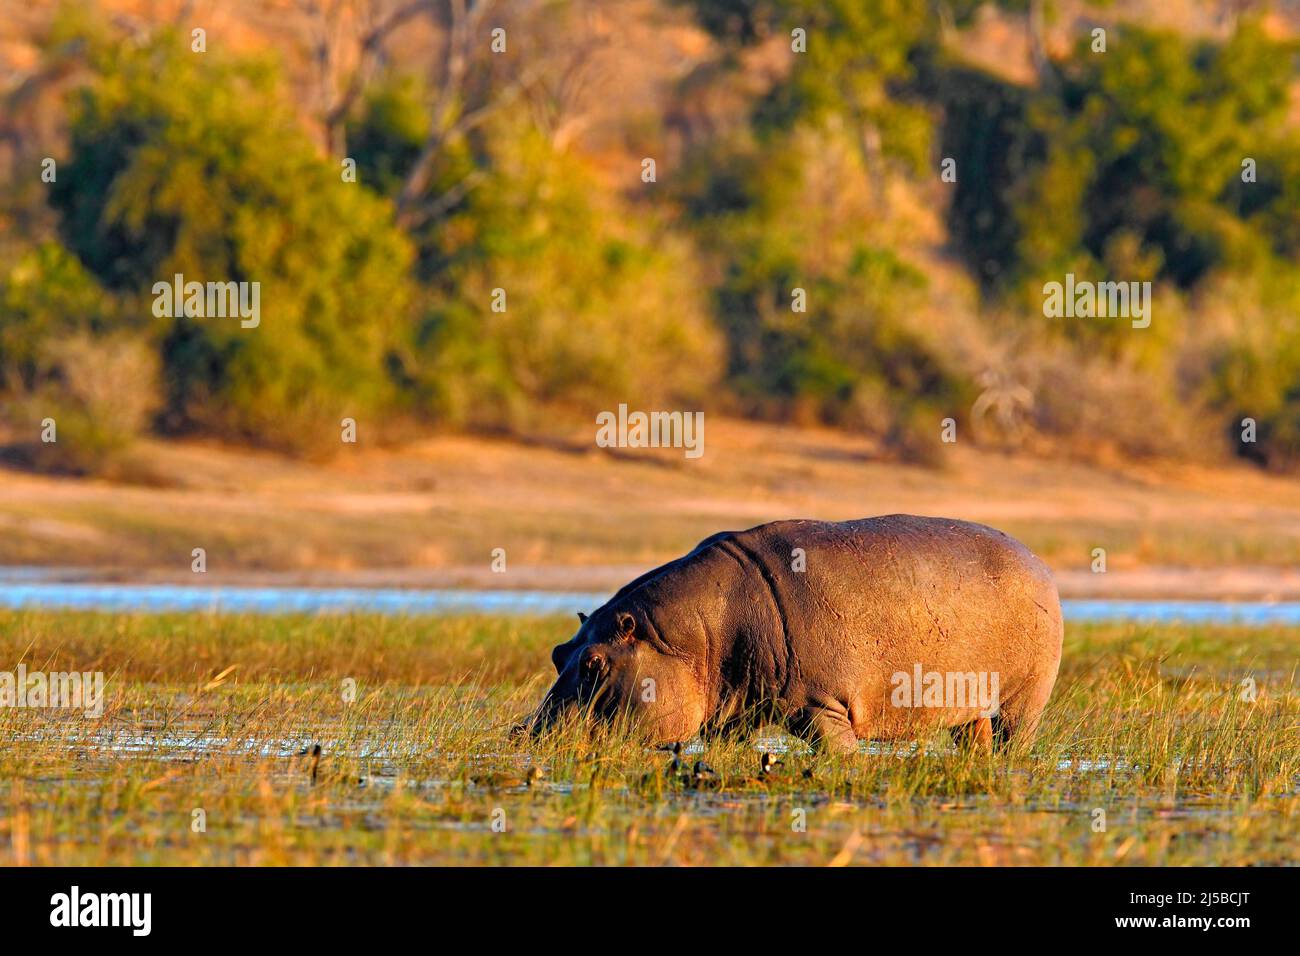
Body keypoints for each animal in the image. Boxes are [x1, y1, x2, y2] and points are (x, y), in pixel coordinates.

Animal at [523, 515, 1063, 753]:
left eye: (594, 663)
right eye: (557, 652)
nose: (525, 731)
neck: (691, 637)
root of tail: (1039, 562)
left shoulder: (820, 705)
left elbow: (840, 755)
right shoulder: (733, 712)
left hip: (1026, 699)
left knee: (1015, 736)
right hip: (970, 705)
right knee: (975, 740)